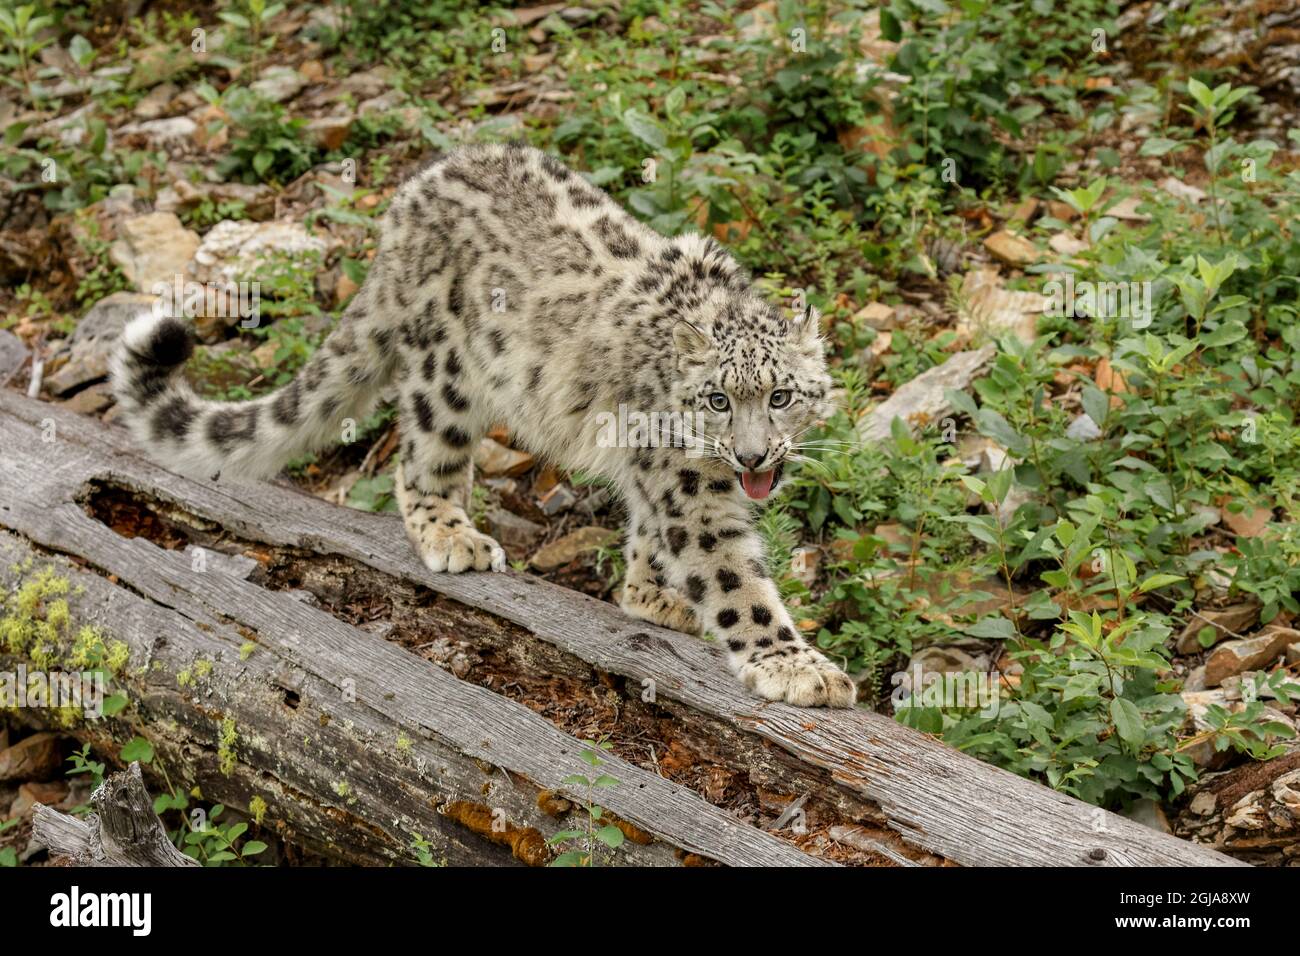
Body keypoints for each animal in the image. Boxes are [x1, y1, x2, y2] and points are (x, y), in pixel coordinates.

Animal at [111, 142, 857, 708]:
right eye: (718, 401)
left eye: (782, 395)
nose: (752, 458)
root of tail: (409, 198)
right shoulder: (688, 484)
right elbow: (732, 574)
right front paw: (797, 667)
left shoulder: (662, 474)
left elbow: (651, 536)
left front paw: (652, 598)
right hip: (448, 374)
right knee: (418, 461)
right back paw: (452, 536)